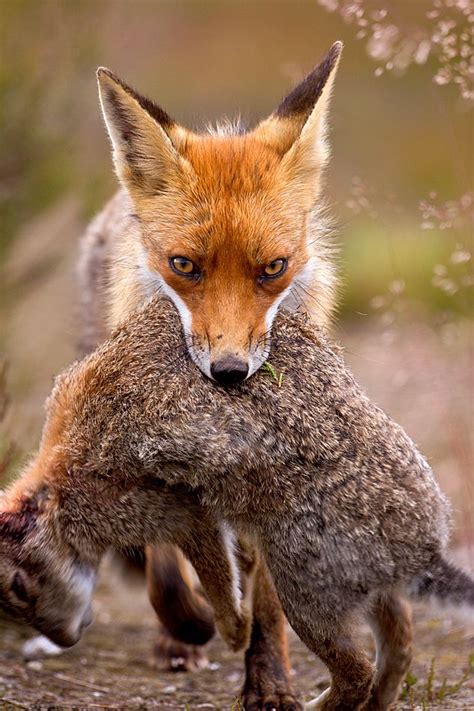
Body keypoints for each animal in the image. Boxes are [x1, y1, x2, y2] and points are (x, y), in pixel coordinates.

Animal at [1, 296, 472, 710]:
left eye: (19, 588)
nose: (65, 638)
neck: (56, 500)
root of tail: (420, 553)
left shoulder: (176, 513)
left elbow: (215, 569)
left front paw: (236, 631)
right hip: (358, 587)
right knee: (398, 642)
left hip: (305, 583)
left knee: (356, 670)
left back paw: (314, 705)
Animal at [74, 41, 343, 707]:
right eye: (184, 266)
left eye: (273, 267)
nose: (229, 372)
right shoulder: (145, 443)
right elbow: (167, 570)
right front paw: (189, 624)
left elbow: (267, 600)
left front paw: (268, 678)